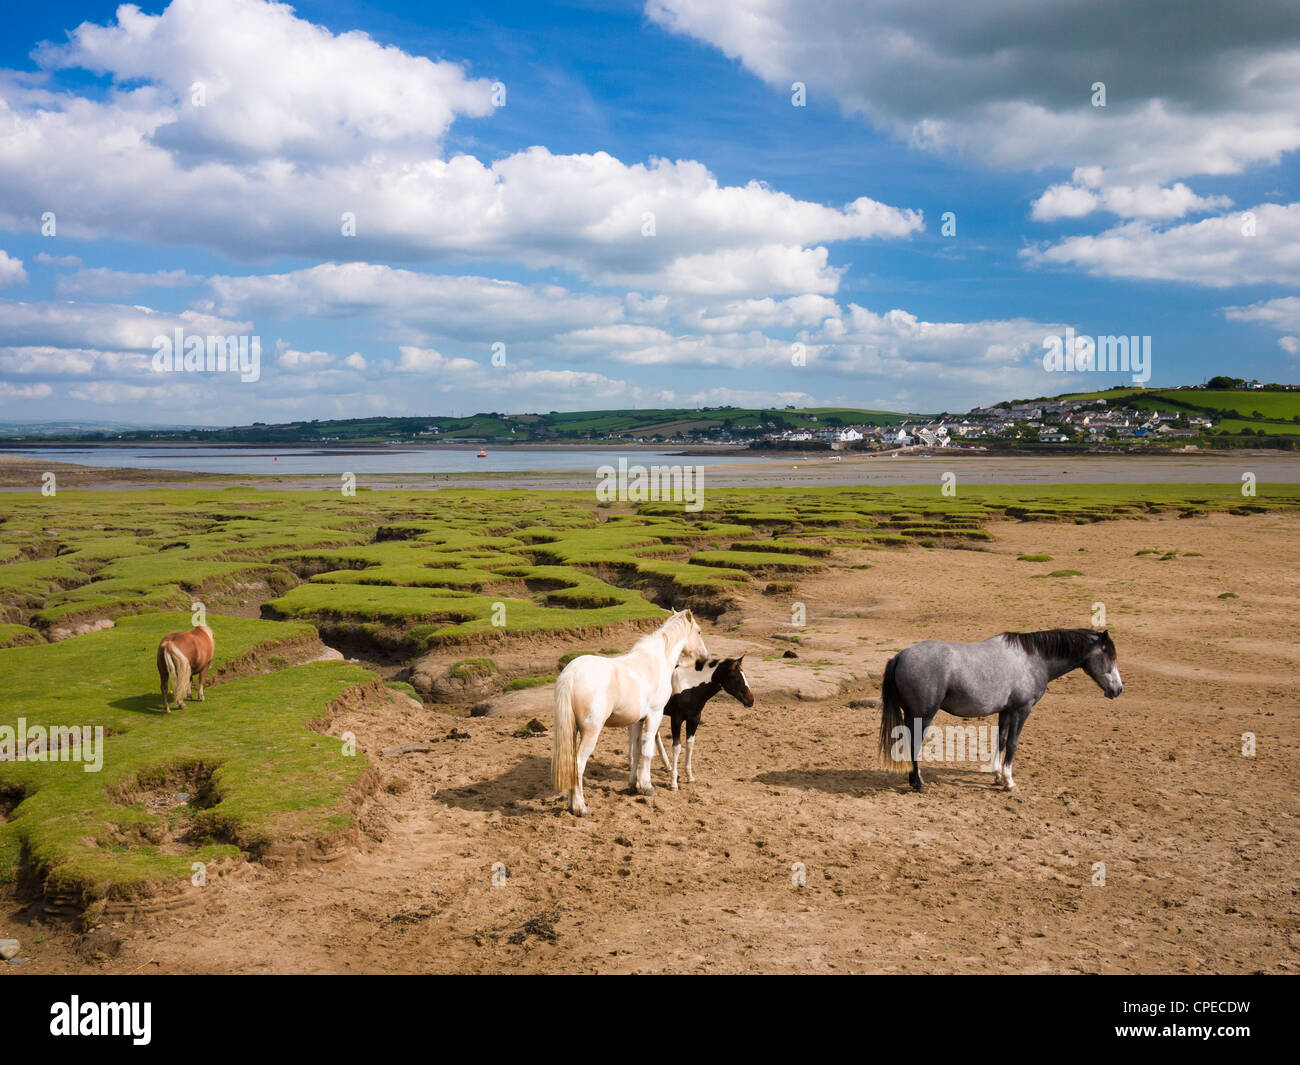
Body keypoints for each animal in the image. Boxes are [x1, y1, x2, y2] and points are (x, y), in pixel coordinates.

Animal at [551, 609, 709, 816]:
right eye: (698, 631)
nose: (705, 657)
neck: (655, 662)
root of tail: (570, 674)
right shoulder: (654, 715)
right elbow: (648, 751)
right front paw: (647, 786)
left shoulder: (637, 720)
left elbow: (635, 751)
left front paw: (634, 785)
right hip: (590, 733)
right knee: (578, 764)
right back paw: (580, 807)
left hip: (573, 731)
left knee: (571, 764)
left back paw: (571, 805)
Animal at [654, 656, 754, 789]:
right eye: (736, 677)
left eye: (744, 675)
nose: (751, 700)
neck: (690, 687)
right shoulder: (676, 719)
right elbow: (677, 747)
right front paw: (674, 782)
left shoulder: (694, 719)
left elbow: (689, 744)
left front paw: (689, 777)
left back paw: (666, 765)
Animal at [878, 628, 1122, 791]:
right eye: (1108, 655)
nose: (1118, 689)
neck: (1033, 660)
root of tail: (900, 656)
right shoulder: (1022, 710)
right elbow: (1013, 743)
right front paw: (1009, 781)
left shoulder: (1006, 710)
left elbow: (1001, 739)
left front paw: (997, 775)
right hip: (923, 716)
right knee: (914, 744)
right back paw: (919, 784)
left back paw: (914, 780)